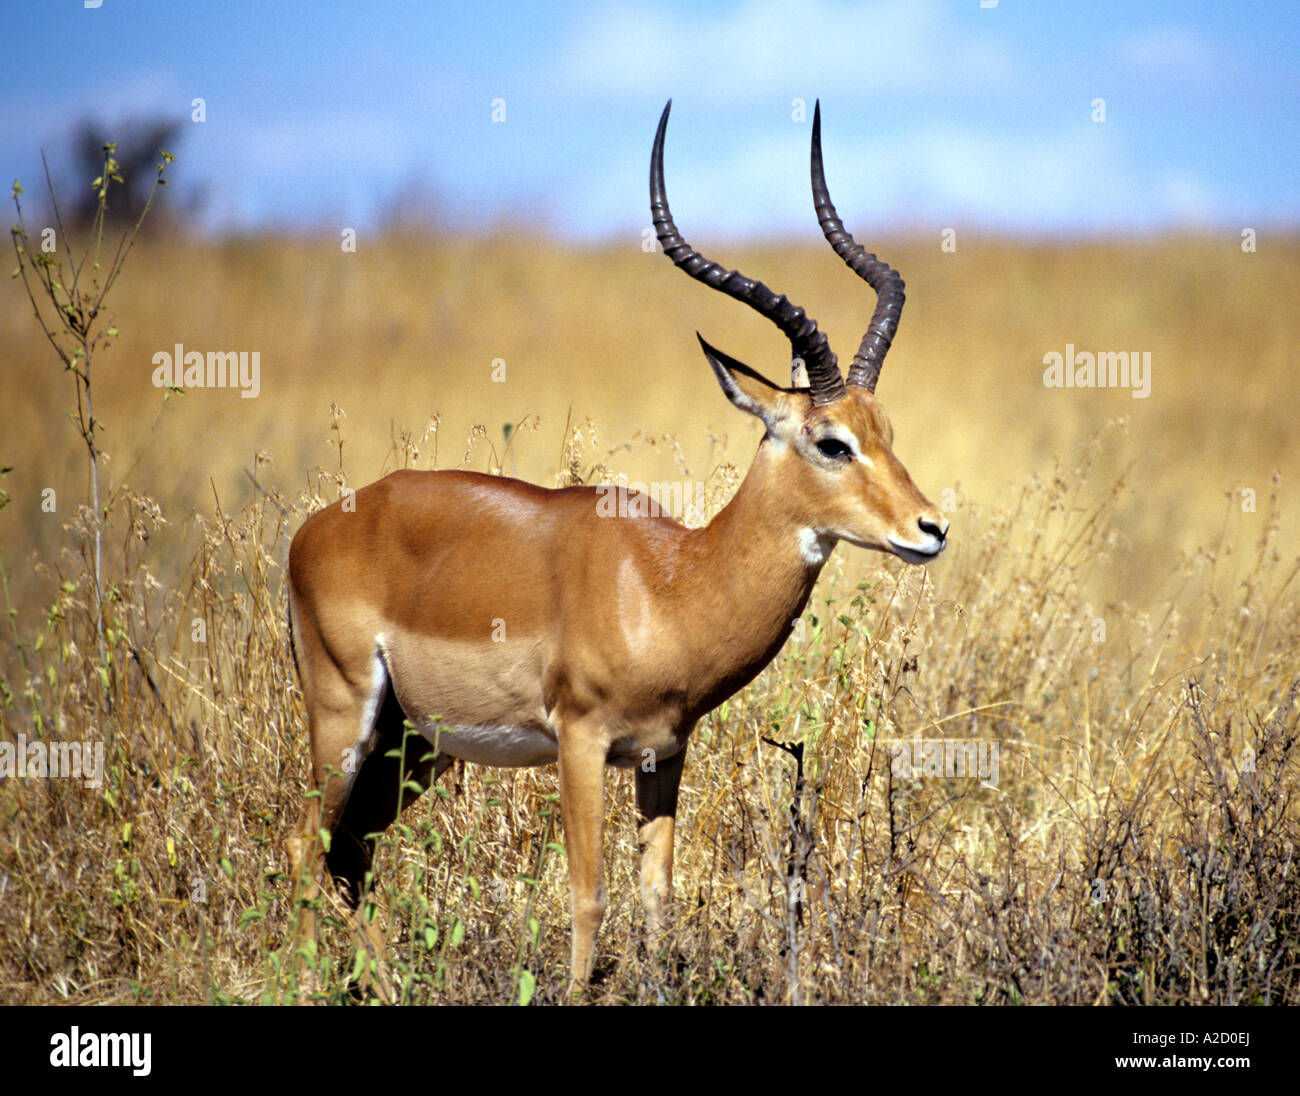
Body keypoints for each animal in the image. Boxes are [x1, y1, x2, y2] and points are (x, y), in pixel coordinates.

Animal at [286, 100, 947, 992]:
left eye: (887, 431)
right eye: (831, 442)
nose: (930, 529)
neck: (669, 584)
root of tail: (320, 524)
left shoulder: (663, 754)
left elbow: (658, 896)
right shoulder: (581, 742)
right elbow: (589, 898)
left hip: (413, 742)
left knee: (349, 849)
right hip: (344, 714)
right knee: (305, 845)